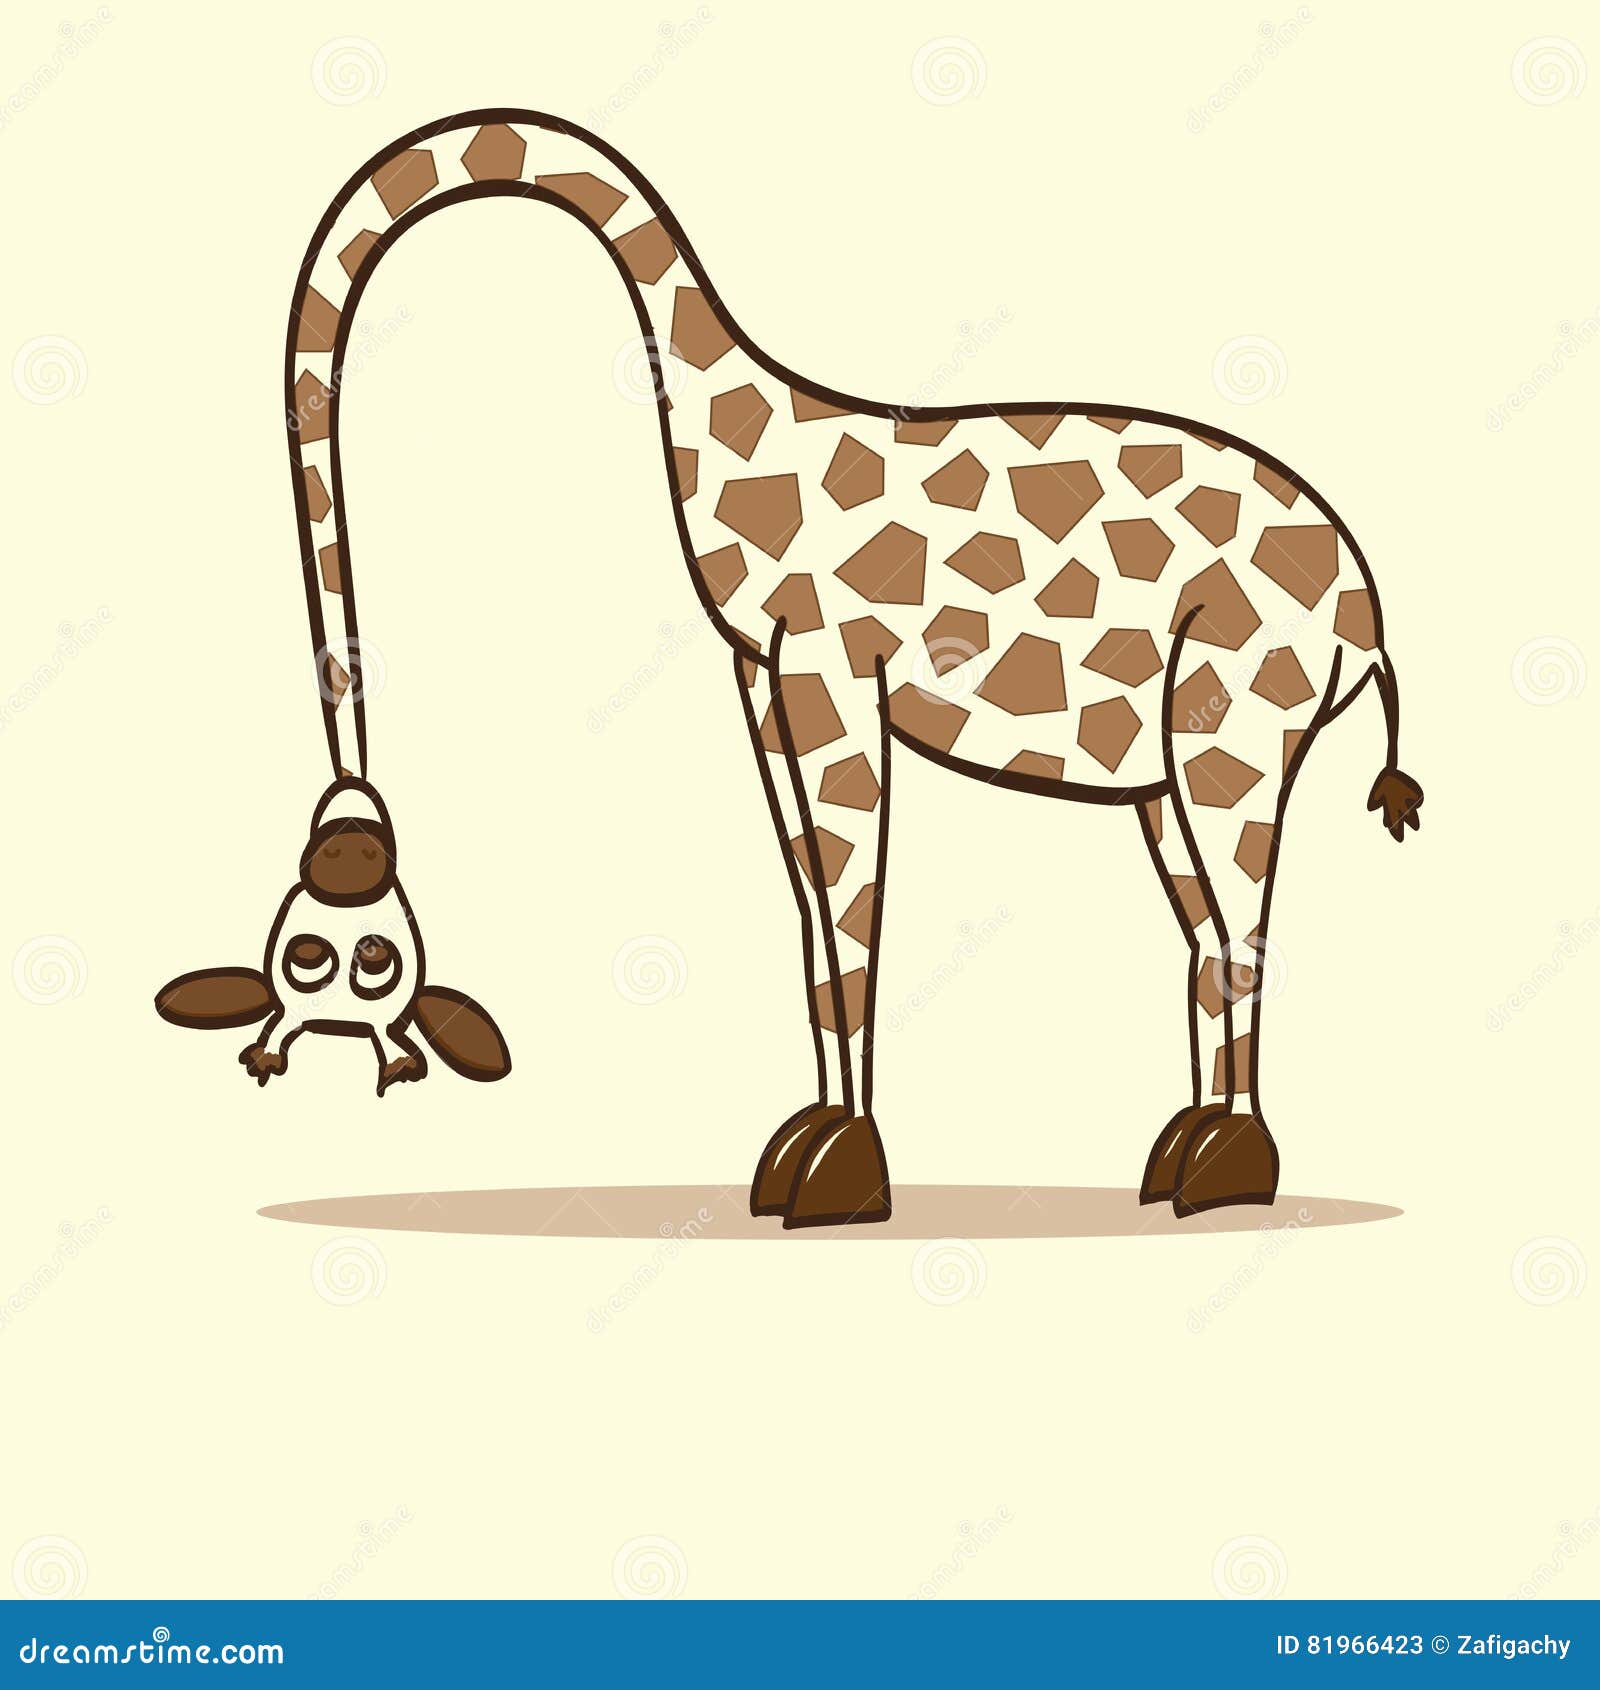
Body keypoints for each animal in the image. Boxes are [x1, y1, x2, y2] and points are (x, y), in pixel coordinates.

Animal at [278, 108, 1422, 1224]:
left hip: (1235, 713)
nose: (351, 808)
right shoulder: (765, 683)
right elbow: (809, 929)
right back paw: (1182, 1156)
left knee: (1243, 922)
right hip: (1163, 763)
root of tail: (1364, 618)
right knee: (1207, 935)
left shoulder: (835, 667)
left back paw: (1226, 1169)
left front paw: (843, 1176)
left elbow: (852, 909)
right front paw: (799, 1153)